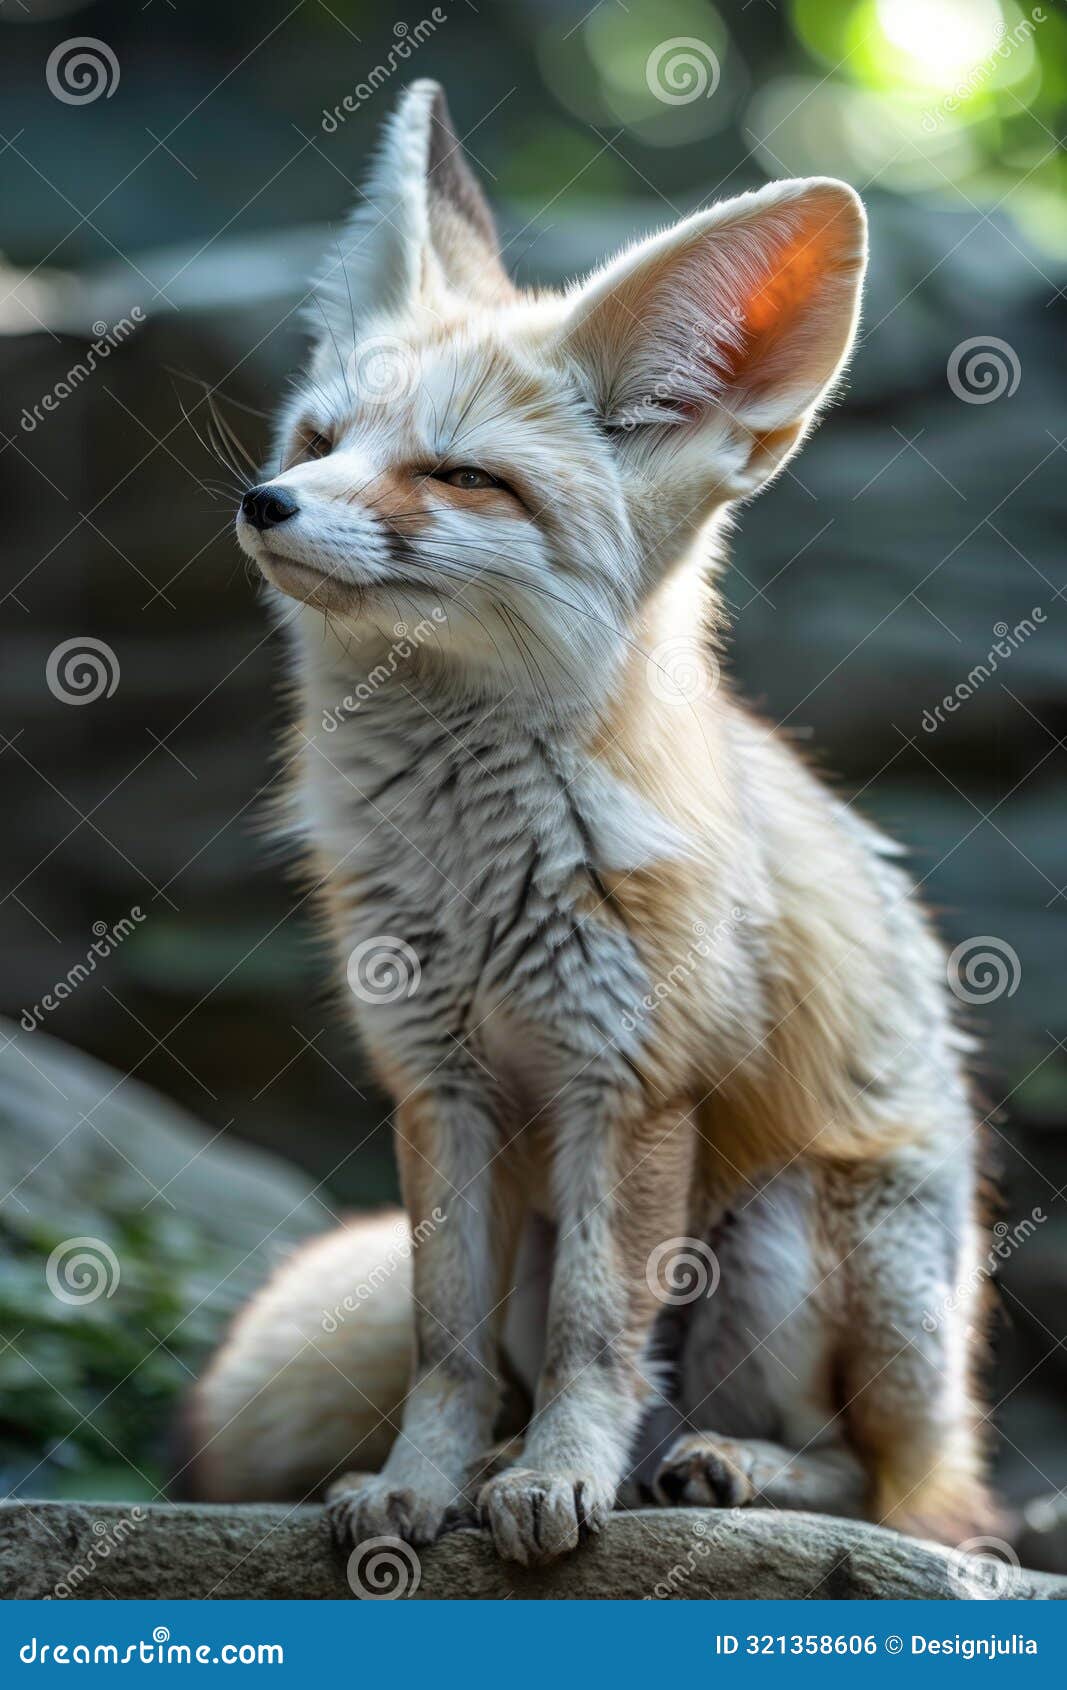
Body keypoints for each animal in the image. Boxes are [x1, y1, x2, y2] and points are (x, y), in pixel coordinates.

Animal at [187, 79, 994, 1567]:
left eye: (460, 478)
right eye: (318, 443)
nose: (264, 503)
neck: (473, 868)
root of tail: (957, 1428)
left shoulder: (628, 1084)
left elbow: (590, 1341)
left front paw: (560, 1478)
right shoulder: (437, 1086)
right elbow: (444, 1353)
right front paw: (424, 1483)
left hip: (799, 1244)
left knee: (877, 1482)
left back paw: (721, 1466)